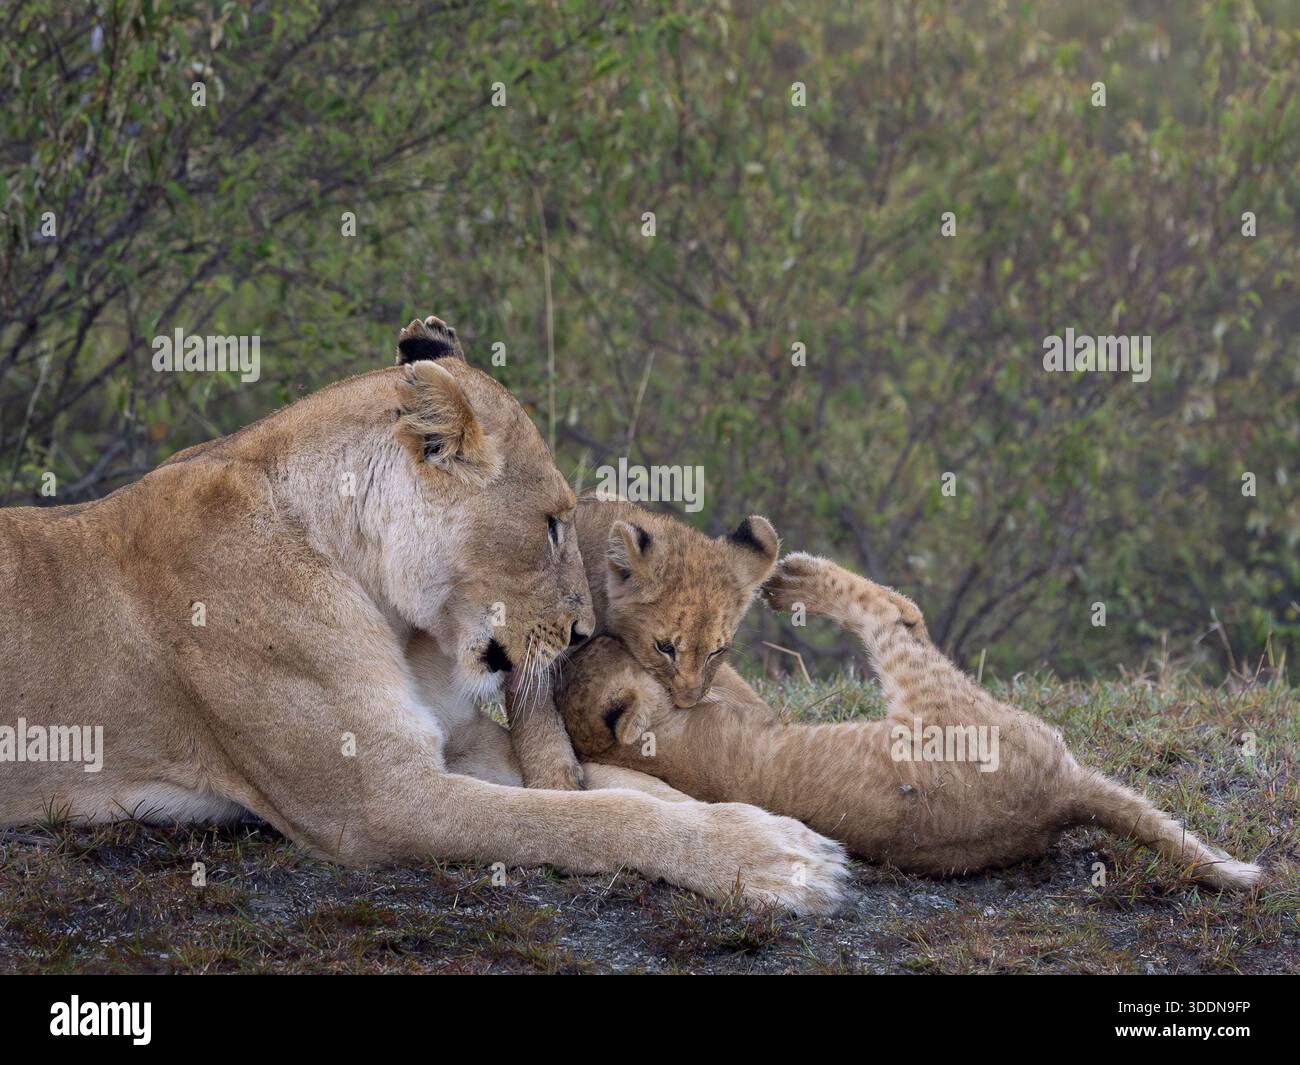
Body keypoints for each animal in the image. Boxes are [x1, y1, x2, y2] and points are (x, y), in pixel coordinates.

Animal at [0, 317, 849, 913]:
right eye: (551, 523)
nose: (581, 634)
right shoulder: (376, 800)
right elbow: (591, 817)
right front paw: (771, 860)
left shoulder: (460, 737)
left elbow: (625, 783)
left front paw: (779, 824)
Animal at [557, 553, 1263, 891]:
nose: (594, 630)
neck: (652, 746)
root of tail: (1063, 796)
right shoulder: (740, 710)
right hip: (934, 692)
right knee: (896, 612)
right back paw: (794, 579)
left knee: (901, 612)